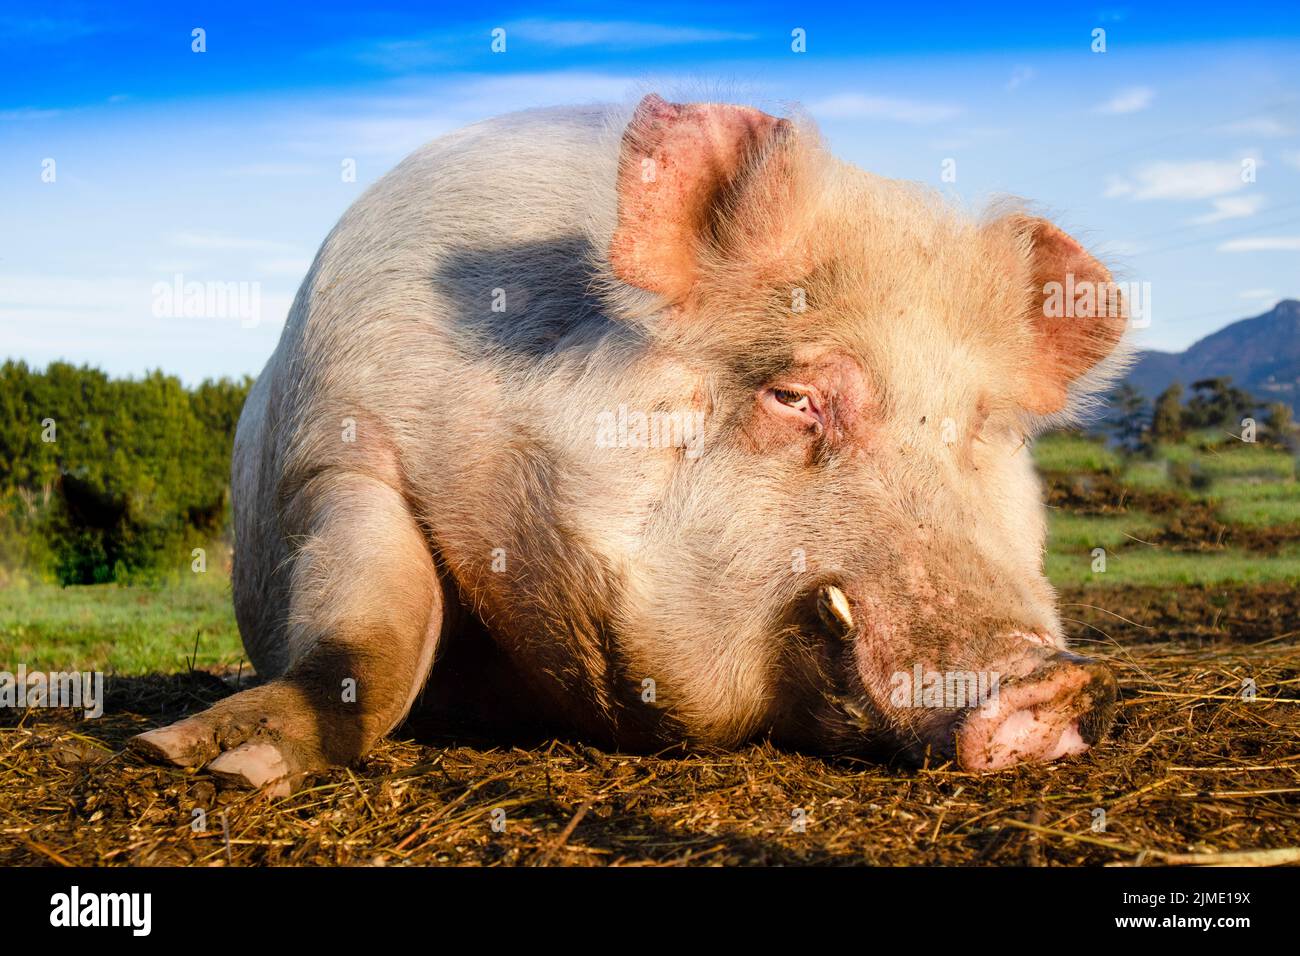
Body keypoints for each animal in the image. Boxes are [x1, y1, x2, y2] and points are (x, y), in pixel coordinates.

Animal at [131, 94, 1128, 795]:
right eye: (795, 395)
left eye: (984, 425)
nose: (1048, 684)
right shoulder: (340, 447)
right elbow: (365, 636)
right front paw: (200, 761)